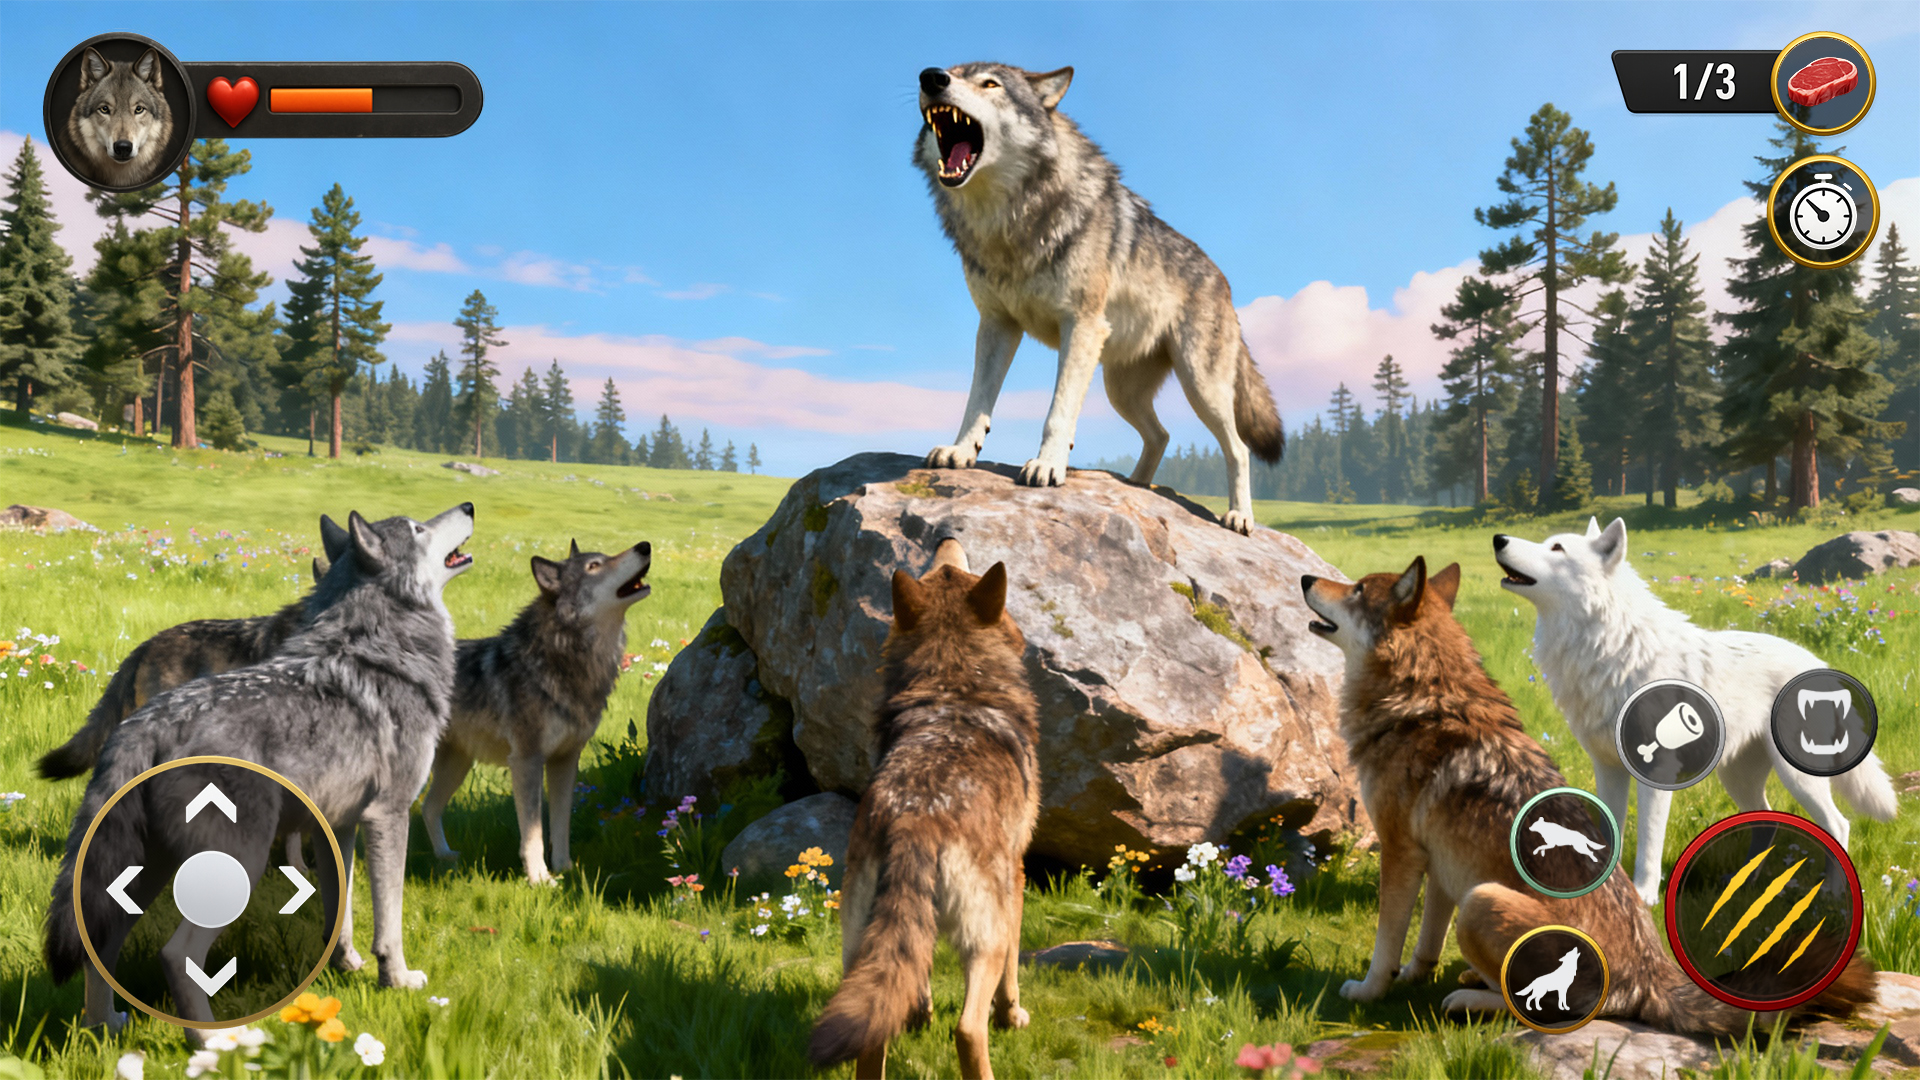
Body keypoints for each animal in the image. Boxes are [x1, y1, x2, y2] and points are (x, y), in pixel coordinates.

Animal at [421, 539, 652, 885]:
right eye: (594, 566)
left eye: (606, 557)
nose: (645, 545)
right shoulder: (527, 761)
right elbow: (533, 832)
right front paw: (540, 879)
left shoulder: (565, 761)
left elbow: (560, 824)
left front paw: (565, 868)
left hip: (456, 768)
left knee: (429, 808)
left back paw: (444, 856)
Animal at [809, 539, 1039, 1080]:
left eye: (948, 567)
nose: (948, 538)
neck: (953, 683)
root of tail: (915, 818)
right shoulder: (1017, 877)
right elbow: (1013, 976)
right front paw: (1013, 1016)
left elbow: (914, 978)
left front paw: (920, 1014)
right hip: (985, 942)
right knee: (968, 1030)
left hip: (860, 947)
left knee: (873, 1033)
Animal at [914, 63, 1284, 534]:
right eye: (953, 71)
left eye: (990, 84)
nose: (931, 77)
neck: (1010, 221)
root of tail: (1225, 283)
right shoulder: (996, 325)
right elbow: (976, 401)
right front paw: (961, 452)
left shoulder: (1081, 326)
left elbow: (1059, 412)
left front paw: (1047, 467)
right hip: (1119, 389)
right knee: (1161, 435)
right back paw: (1137, 488)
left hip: (1200, 387)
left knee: (1237, 448)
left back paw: (1238, 516)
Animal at [1301, 557, 1874, 1033]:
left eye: (1355, 589)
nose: (1305, 579)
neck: (1425, 697)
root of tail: (1650, 978)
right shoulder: (1440, 865)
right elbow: (1425, 942)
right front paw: (1415, 976)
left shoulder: (1400, 853)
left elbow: (1386, 943)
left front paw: (1369, 991)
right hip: (1474, 894)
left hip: (1482, 901)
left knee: (1547, 1009)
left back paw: (1469, 998)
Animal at [1494, 518, 1898, 904]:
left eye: (1557, 548)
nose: (1498, 539)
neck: (1612, 649)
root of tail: (1818, 664)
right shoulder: (1607, 769)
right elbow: (1610, 832)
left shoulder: (1656, 774)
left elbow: (1649, 845)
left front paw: (1644, 896)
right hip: (1738, 778)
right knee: (1767, 823)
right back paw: (1745, 882)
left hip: (1797, 779)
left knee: (1838, 824)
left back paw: (1832, 892)